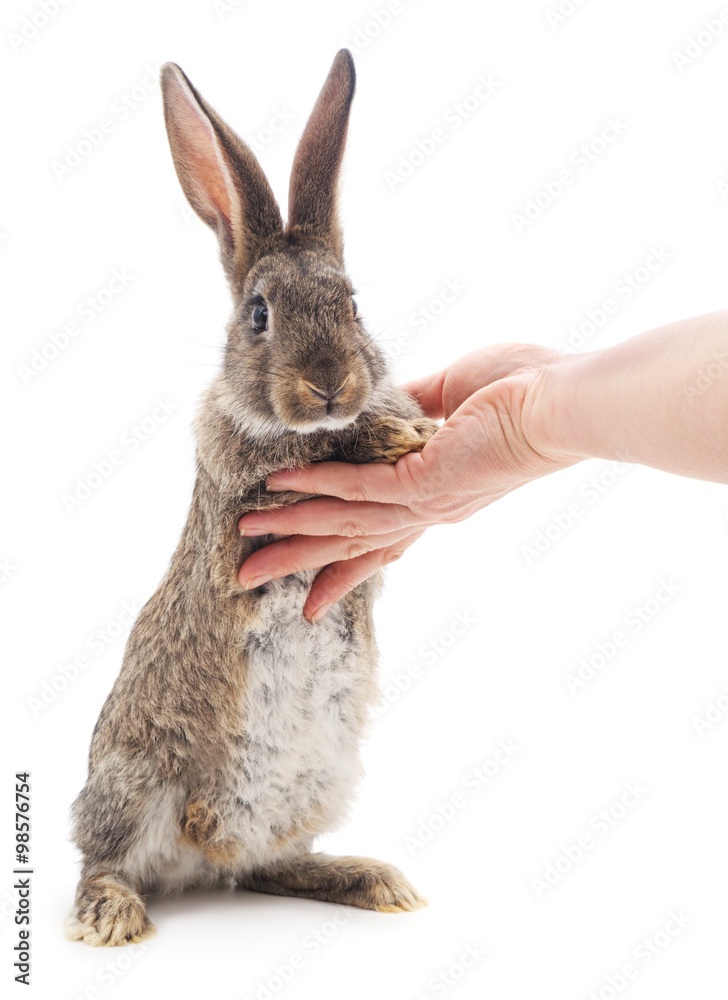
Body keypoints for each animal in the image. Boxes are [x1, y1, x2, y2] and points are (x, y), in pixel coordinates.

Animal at [65, 49, 437, 948]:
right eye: (259, 313)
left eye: (354, 305)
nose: (331, 383)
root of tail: (197, 855)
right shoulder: (243, 485)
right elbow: (308, 450)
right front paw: (389, 436)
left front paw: (399, 427)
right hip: (134, 779)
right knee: (103, 858)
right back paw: (111, 914)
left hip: (310, 790)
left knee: (267, 864)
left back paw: (371, 881)